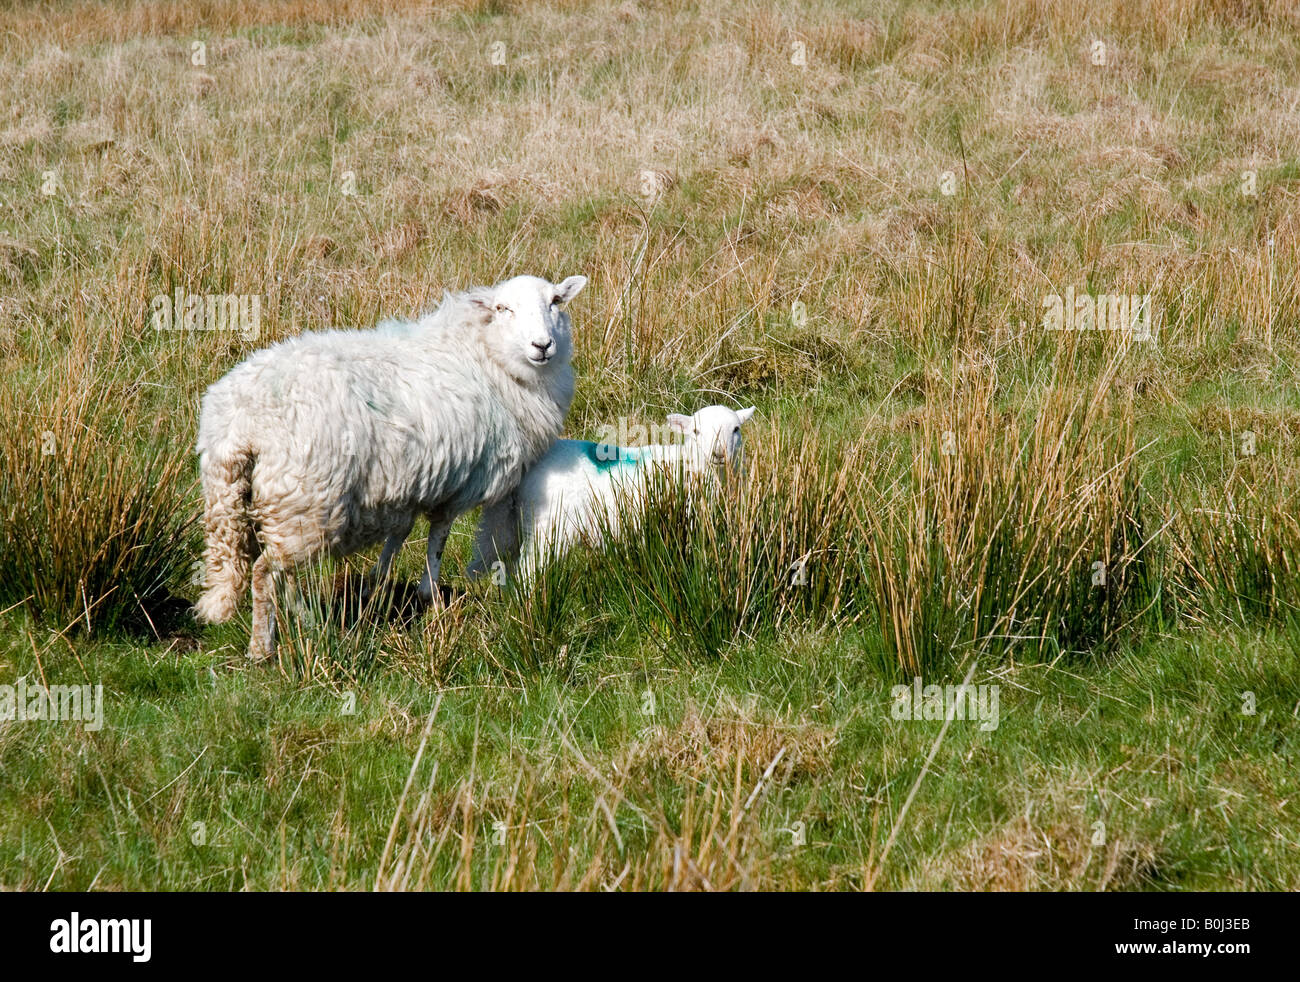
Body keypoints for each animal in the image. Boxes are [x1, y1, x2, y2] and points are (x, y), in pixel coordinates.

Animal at [194, 273, 588, 660]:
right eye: (503, 308)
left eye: (555, 301)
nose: (542, 345)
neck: (485, 355)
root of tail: (240, 422)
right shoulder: (458, 483)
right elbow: (438, 537)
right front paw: (429, 593)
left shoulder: (408, 482)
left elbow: (400, 532)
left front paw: (377, 581)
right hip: (304, 500)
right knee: (264, 573)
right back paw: (262, 648)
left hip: (272, 504)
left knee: (281, 572)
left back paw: (308, 620)